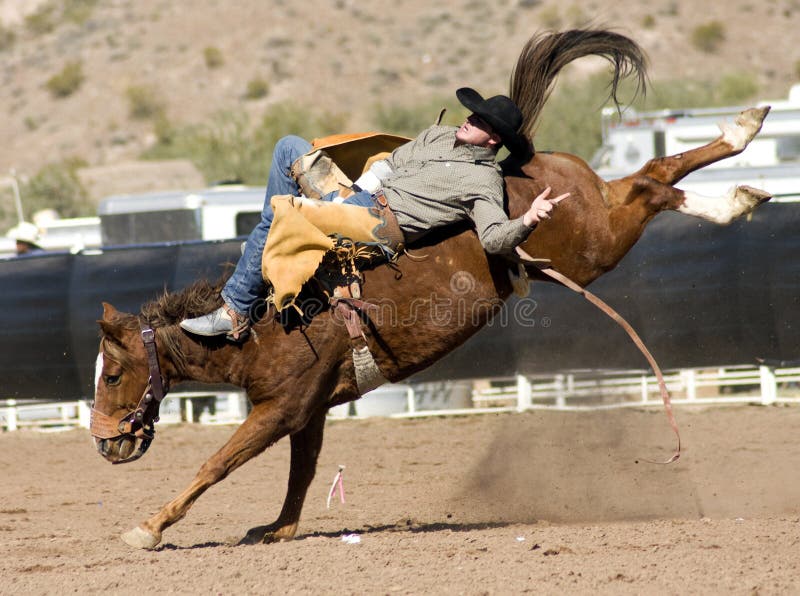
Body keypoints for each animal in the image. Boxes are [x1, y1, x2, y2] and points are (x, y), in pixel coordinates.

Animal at [90, 29, 772, 548]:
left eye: (112, 374)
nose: (104, 445)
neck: (263, 324)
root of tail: (519, 163)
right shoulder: (309, 410)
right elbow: (301, 473)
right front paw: (278, 529)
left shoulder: (279, 407)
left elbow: (218, 462)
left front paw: (148, 528)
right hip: (596, 228)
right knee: (651, 179)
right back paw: (742, 177)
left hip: (596, 244)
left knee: (653, 182)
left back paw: (740, 153)